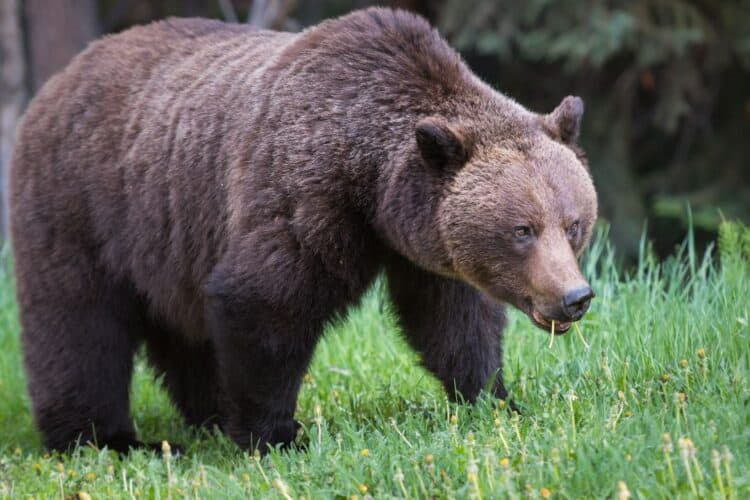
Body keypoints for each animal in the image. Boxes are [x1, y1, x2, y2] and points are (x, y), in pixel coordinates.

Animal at [9, 8, 597, 453]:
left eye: (573, 224)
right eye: (522, 229)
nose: (574, 297)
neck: (369, 181)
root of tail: (59, 80)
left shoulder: (423, 240)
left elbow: (452, 322)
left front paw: (496, 401)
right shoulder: (305, 193)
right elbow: (266, 302)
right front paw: (275, 435)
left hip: (170, 239)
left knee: (184, 331)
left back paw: (205, 415)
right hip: (83, 205)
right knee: (77, 325)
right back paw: (103, 438)